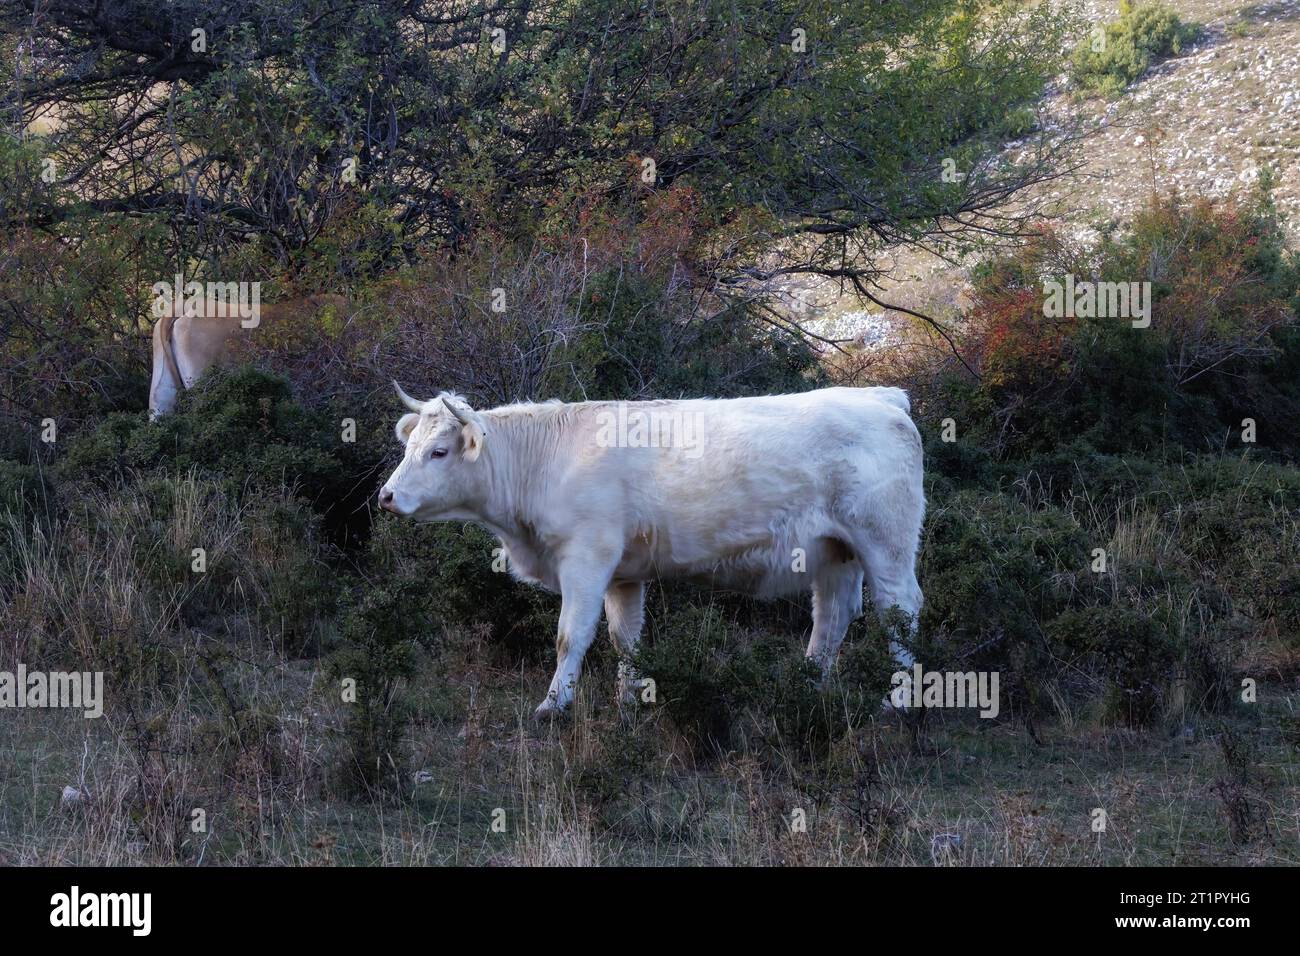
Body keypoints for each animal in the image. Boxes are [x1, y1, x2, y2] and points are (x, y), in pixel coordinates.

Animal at [378, 383, 925, 719]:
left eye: (439, 452)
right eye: (409, 447)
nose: (386, 496)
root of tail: (879, 396)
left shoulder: (586, 558)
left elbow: (570, 636)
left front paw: (553, 707)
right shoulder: (624, 574)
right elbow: (626, 639)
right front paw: (628, 703)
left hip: (886, 540)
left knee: (899, 611)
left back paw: (898, 702)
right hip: (836, 551)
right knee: (832, 617)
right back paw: (807, 690)